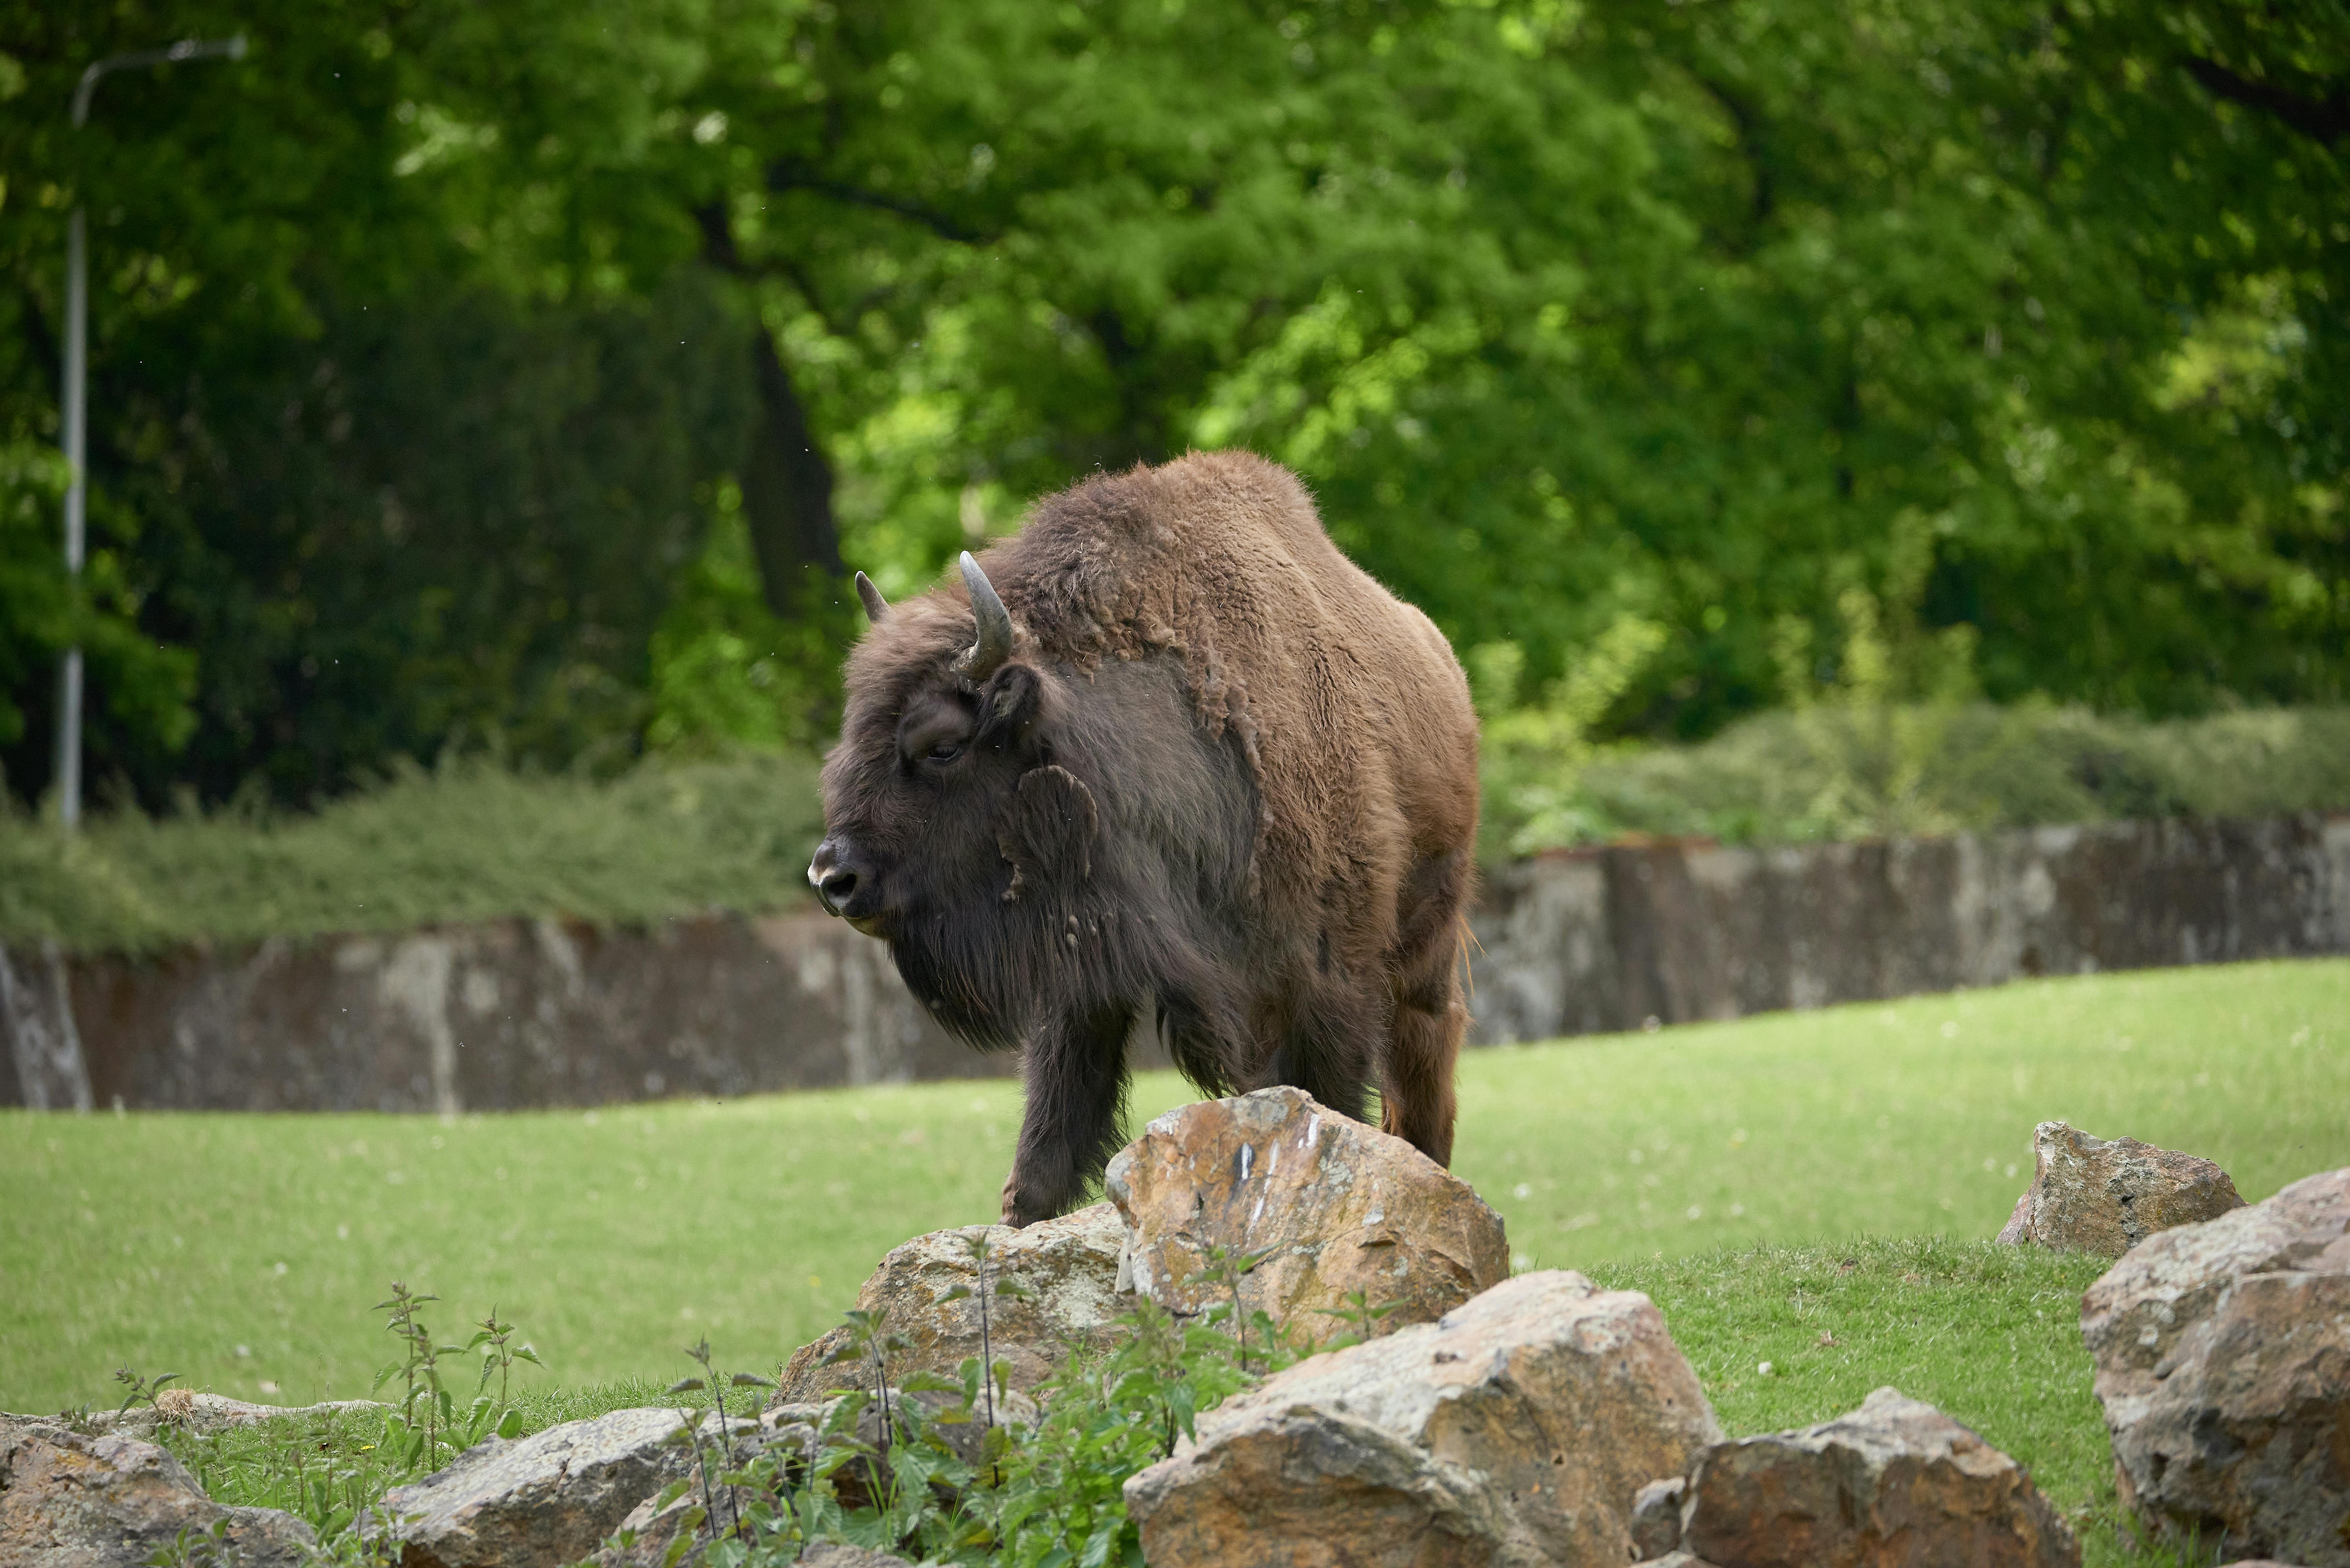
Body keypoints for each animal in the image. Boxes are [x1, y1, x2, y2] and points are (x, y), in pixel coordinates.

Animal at [808, 451, 1479, 1225]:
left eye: (941, 744)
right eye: (848, 740)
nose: (832, 878)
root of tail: (1442, 659)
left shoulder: (1322, 989)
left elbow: (1325, 1110)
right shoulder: (1082, 983)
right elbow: (1053, 1132)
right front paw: (1021, 1219)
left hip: (1424, 942)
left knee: (1425, 1061)